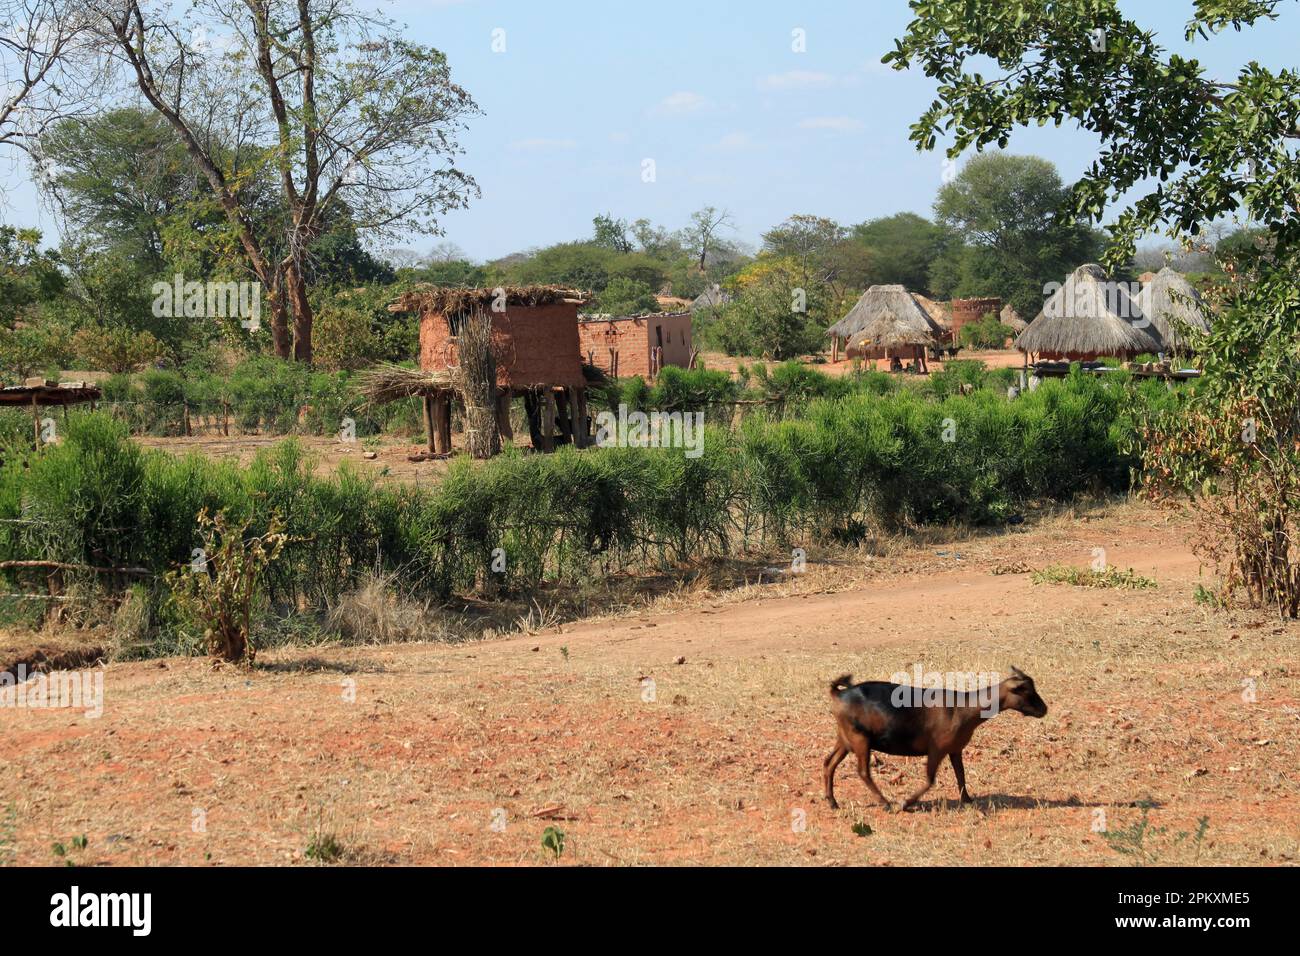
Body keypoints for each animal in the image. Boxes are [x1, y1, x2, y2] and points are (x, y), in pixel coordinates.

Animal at [823, 666, 1047, 811]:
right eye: (1024, 691)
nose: (1044, 709)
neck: (962, 709)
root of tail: (838, 695)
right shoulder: (936, 750)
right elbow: (930, 780)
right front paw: (906, 803)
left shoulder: (955, 749)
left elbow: (961, 775)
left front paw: (967, 800)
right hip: (860, 739)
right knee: (863, 772)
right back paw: (886, 803)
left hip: (844, 739)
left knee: (829, 763)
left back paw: (832, 802)